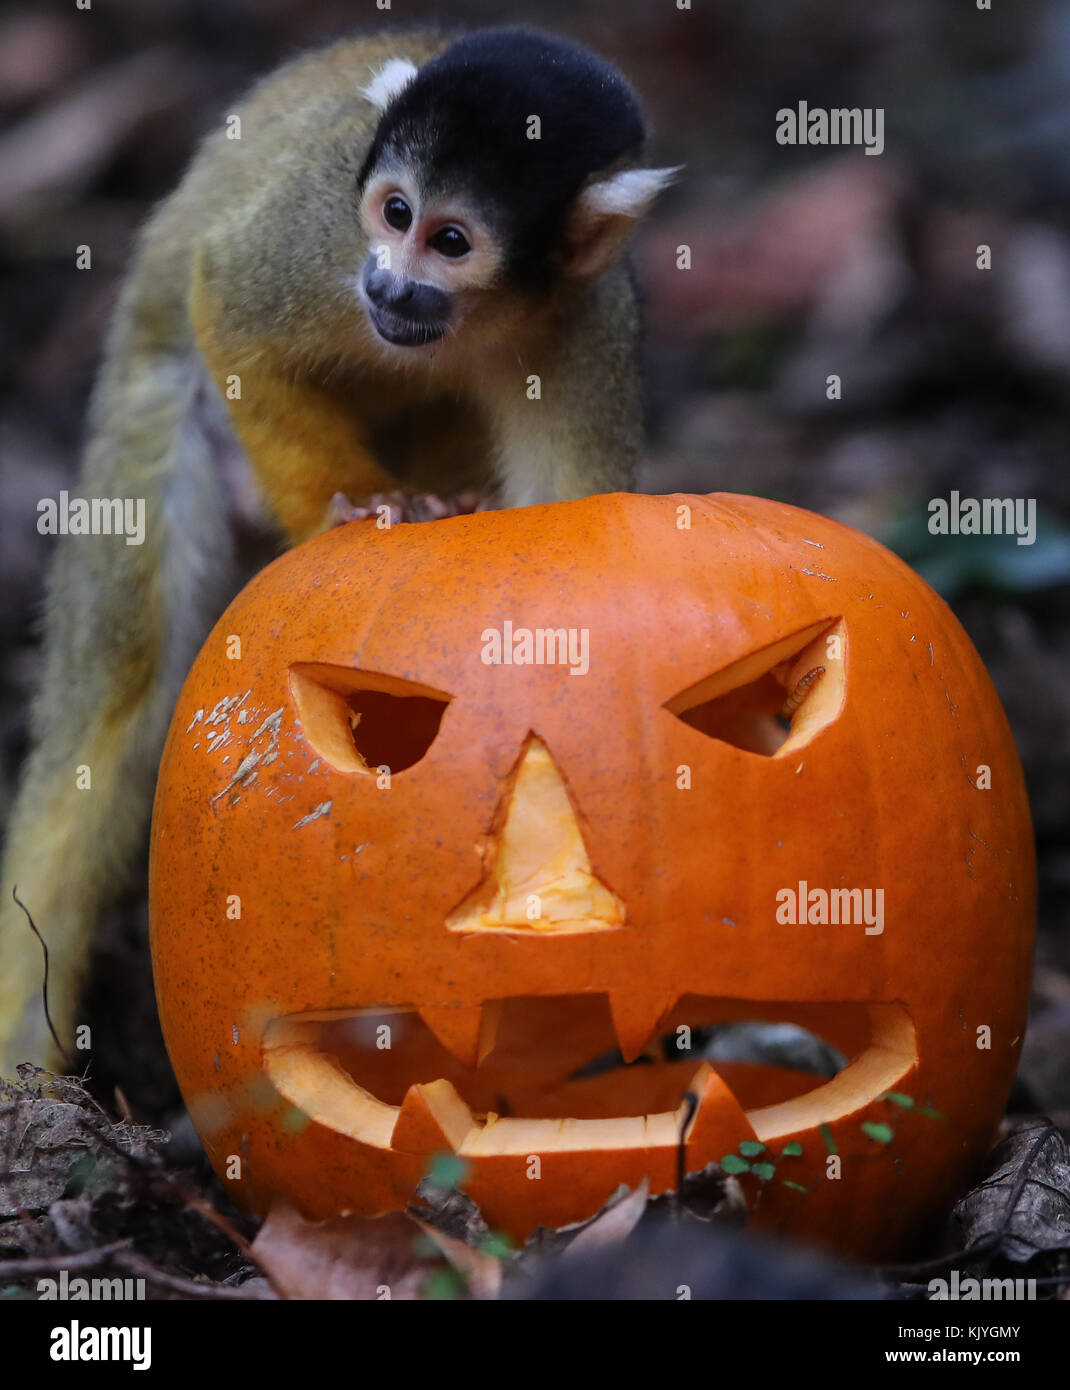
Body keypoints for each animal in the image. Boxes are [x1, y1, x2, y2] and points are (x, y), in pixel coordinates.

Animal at [0, 27, 676, 1074]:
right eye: (394, 213)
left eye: (450, 241)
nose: (388, 283)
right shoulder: (322, 234)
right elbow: (231, 302)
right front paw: (351, 513)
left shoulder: (586, 320)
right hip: (148, 404)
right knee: (112, 699)